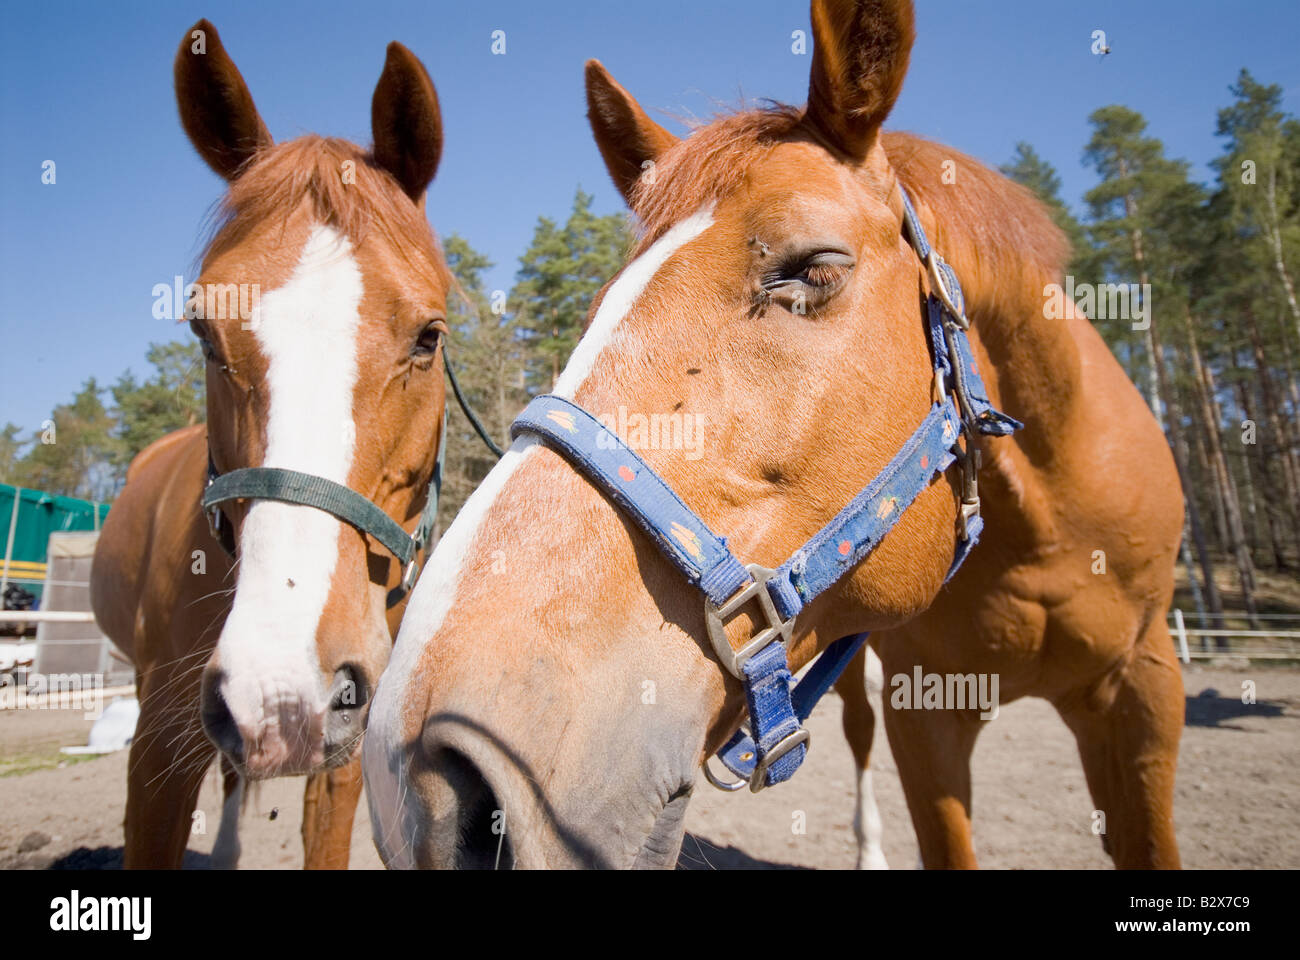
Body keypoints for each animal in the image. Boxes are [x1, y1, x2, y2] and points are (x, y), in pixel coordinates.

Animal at [362, 0, 1185, 870]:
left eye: (811, 270)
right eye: (597, 304)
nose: (419, 766)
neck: (1035, 526)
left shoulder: (1146, 689)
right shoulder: (923, 711)